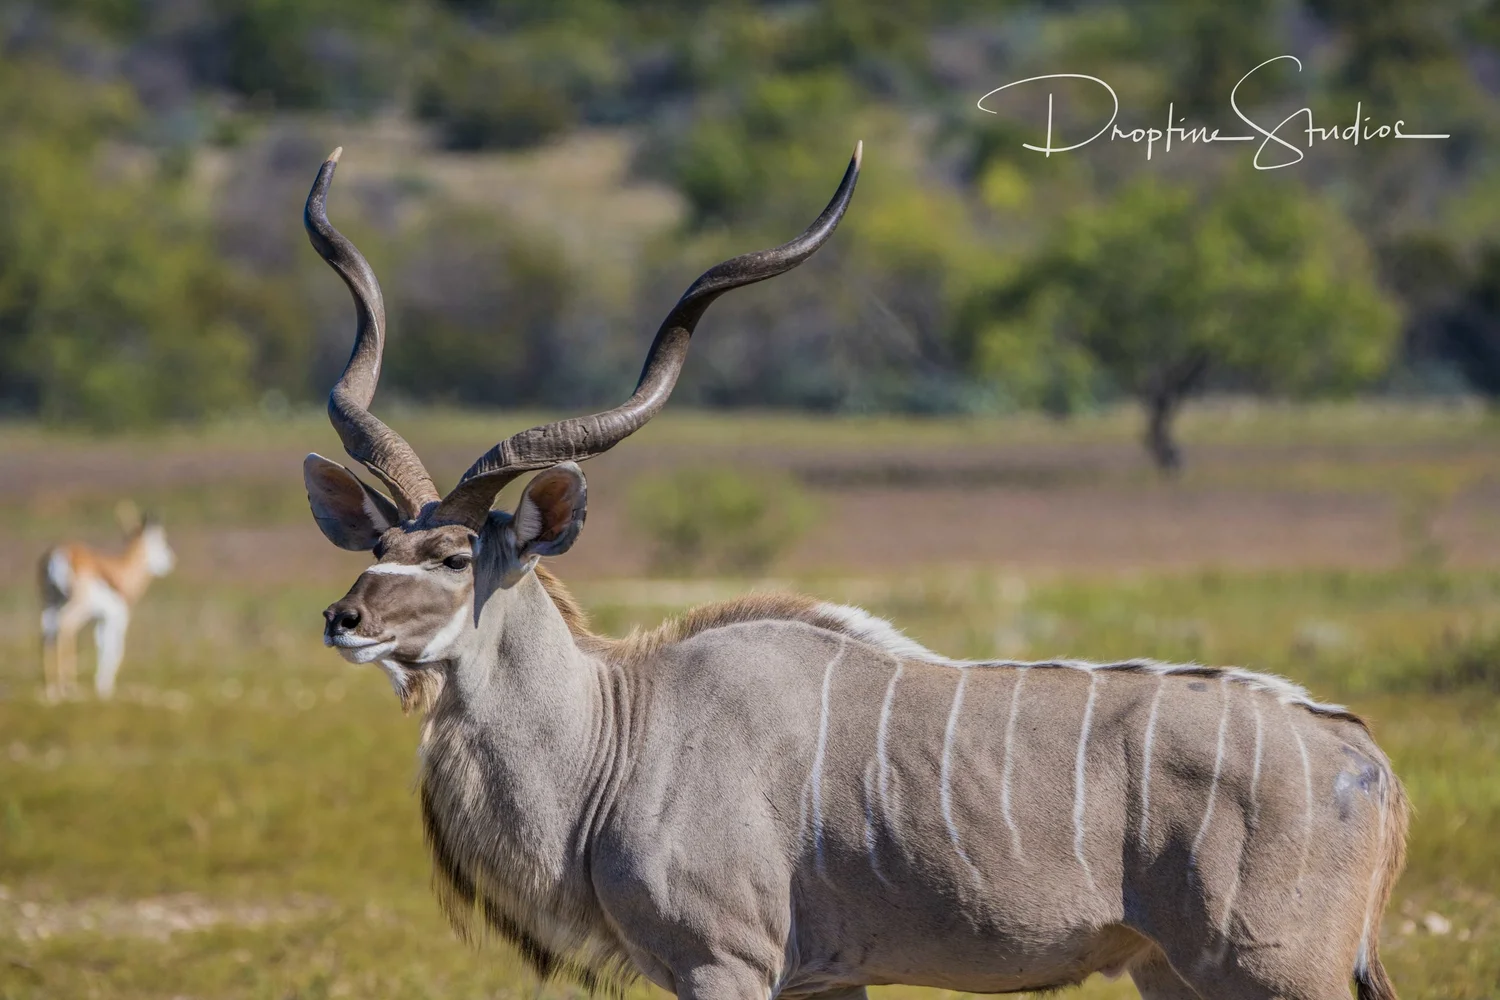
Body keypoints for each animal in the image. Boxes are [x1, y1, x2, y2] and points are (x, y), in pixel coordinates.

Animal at [39, 503, 176, 700]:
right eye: (161, 541)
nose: (171, 561)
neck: (122, 574)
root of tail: (59, 553)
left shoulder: (101, 619)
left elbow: (102, 645)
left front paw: (101, 685)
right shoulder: (118, 617)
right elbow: (115, 648)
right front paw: (106, 689)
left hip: (49, 603)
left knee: (47, 632)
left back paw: (51, 688)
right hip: (77, 607)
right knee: (66, 624)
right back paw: (69, 686)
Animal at [301, 145, 1407, 1000]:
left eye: (455, 555)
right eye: (376, 548)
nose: (343, 621)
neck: (619, 730)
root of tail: (1371, 765)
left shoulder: (727, 966)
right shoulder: (821, 977)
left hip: (1271, 971)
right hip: (1172, 970)